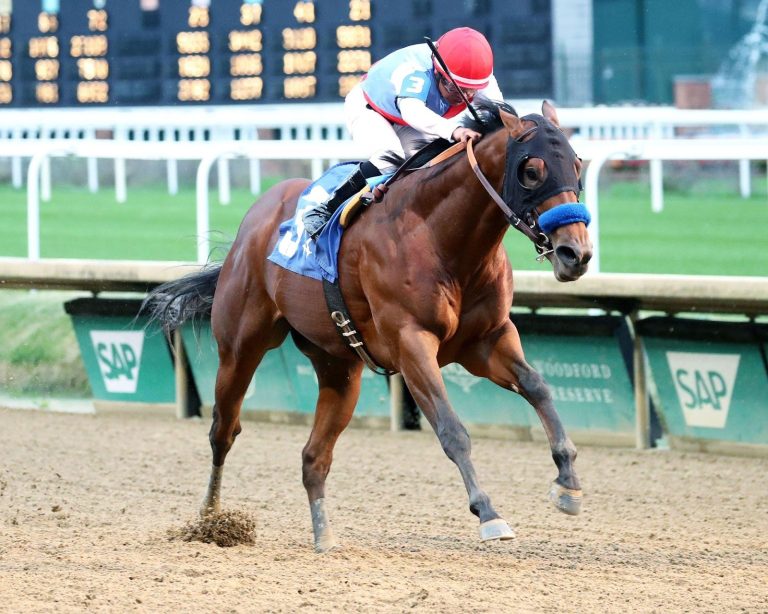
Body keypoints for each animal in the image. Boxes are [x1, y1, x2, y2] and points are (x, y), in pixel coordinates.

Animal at [146, 99, 592, 552]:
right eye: (531, 170)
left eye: (577, 163)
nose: (576, 254)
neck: (441, 238)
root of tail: (255, 217)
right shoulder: (411, 344)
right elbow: (452, 430)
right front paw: (488, 513)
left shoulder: (487, 340)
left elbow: (538, 387)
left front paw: (568, 482)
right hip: (241, 346)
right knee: (224, 430)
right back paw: (211, 520)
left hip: (339, 368)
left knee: (313, 457)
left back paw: (323, 536)